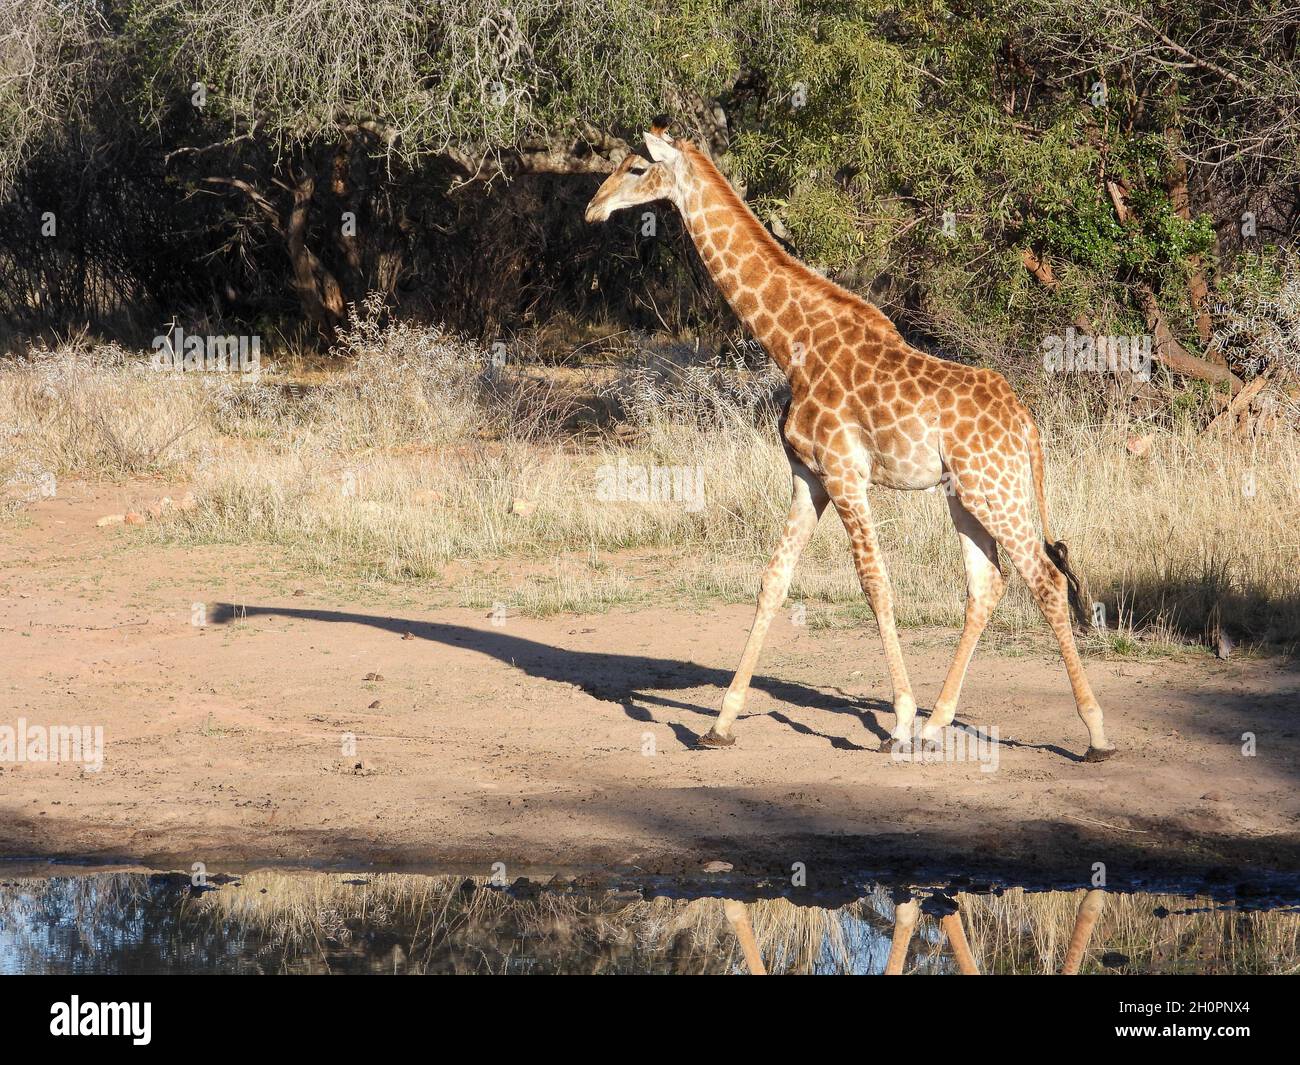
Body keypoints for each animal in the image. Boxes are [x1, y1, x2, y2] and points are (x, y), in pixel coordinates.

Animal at [585, 121, 1115, 761]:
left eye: (638, 169)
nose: (592, 207)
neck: (791, 344)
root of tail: (1028, 428)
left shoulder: (844, 471)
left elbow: (875, 584)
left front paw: (899, 721)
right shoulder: (808, 476)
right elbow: (773, 581)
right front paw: (720, 724)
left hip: (997, 492)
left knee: (1047, 581)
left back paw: (1094, 733)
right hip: (966, 496)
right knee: (987, 585)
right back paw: (938, 726)